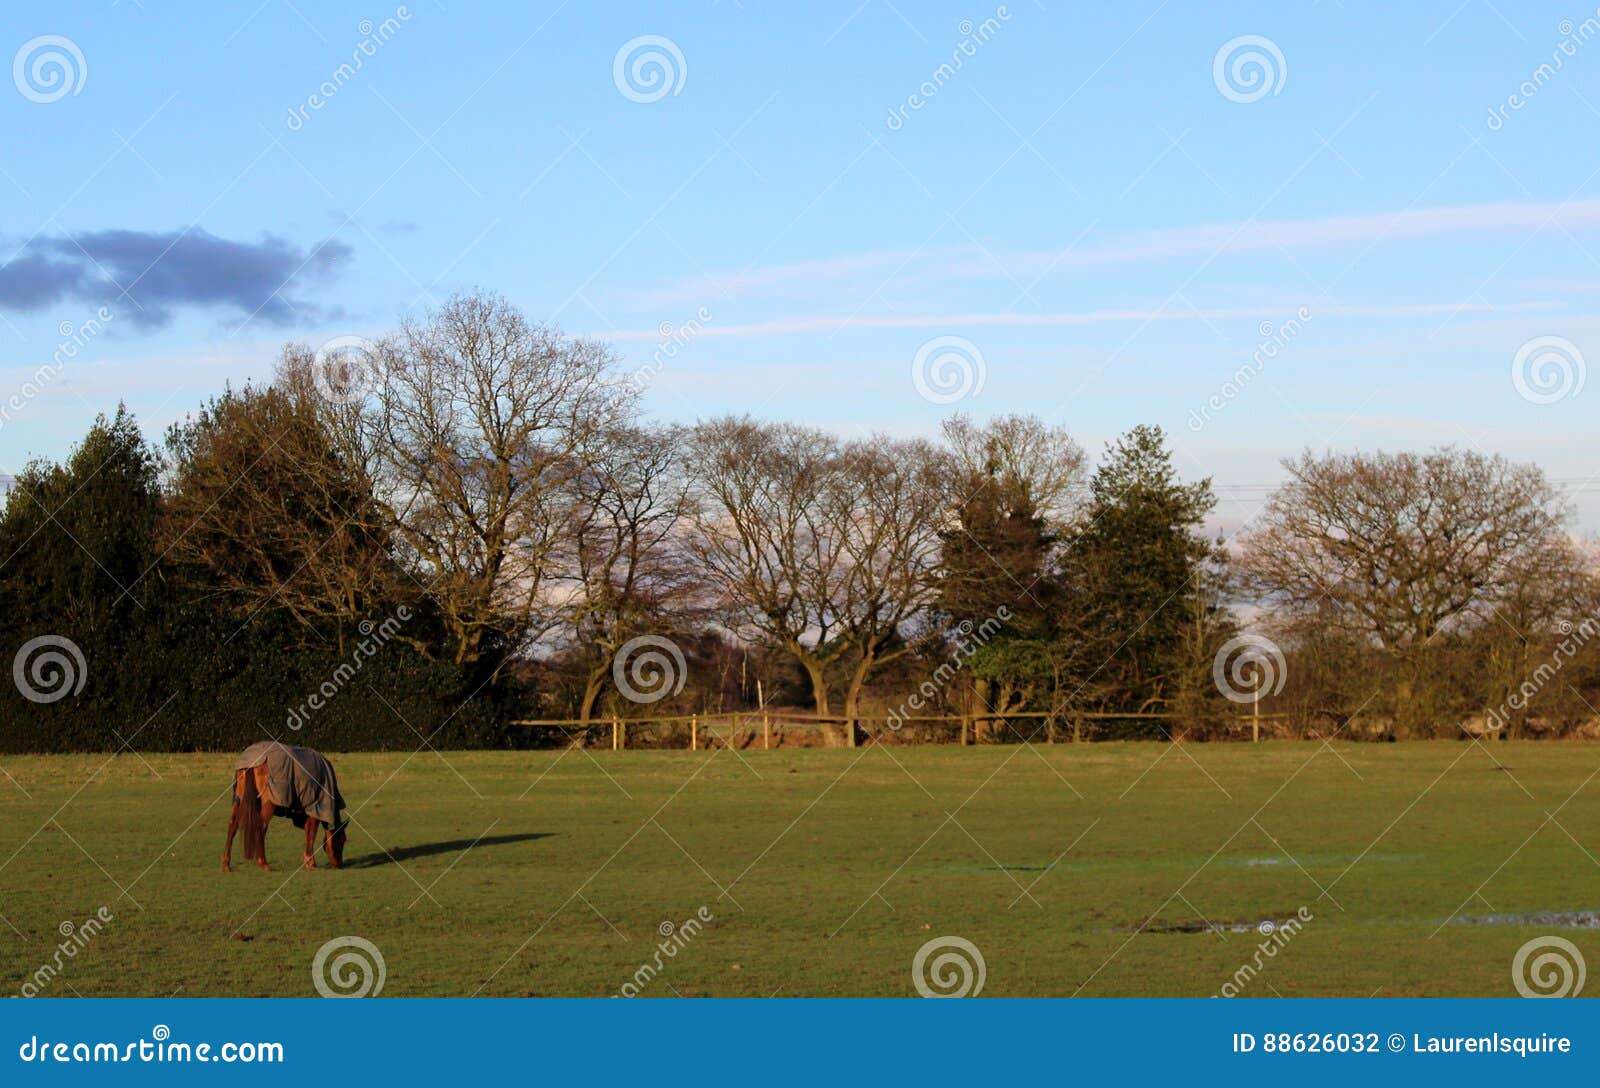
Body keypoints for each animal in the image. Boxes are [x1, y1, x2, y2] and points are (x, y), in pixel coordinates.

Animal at [222, 742, 347, 872]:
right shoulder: (315, 808)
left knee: (233, 824)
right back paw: (262, 862)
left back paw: (226, 864)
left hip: (239, 798)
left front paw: (309, 861)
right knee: (260, 826)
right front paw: (310, 863)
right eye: (342, 840)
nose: (339, 864)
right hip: (270, 802)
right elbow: (311, 834)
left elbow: (308, 831)